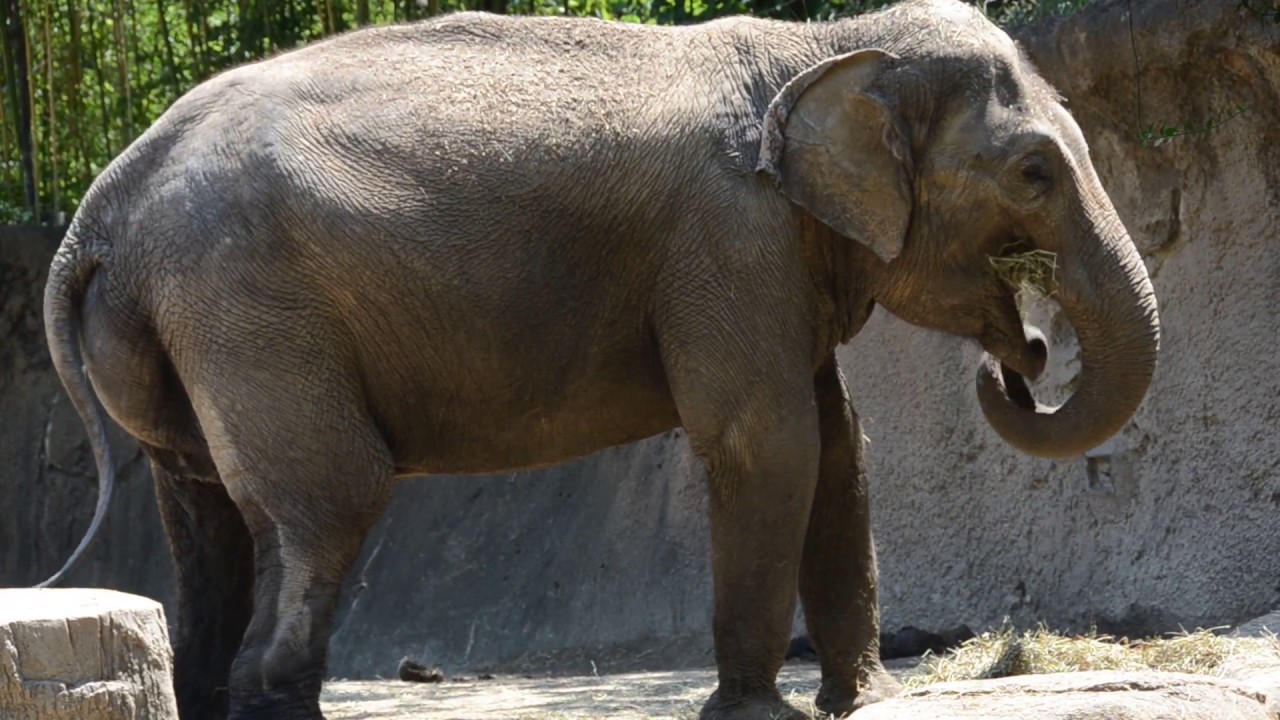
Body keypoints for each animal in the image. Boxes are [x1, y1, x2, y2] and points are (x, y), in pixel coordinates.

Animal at [38, 0, 1160, 718]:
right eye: (1033, 171)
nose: (1021, 355)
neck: (821, 47)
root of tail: (97, 208)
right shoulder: (727, 238)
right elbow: (767, 442)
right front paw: (757, 716)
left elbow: (838, 444)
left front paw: (868, 703)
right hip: (247, 304)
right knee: (327, 497)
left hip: (176, 323)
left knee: (203, 515)